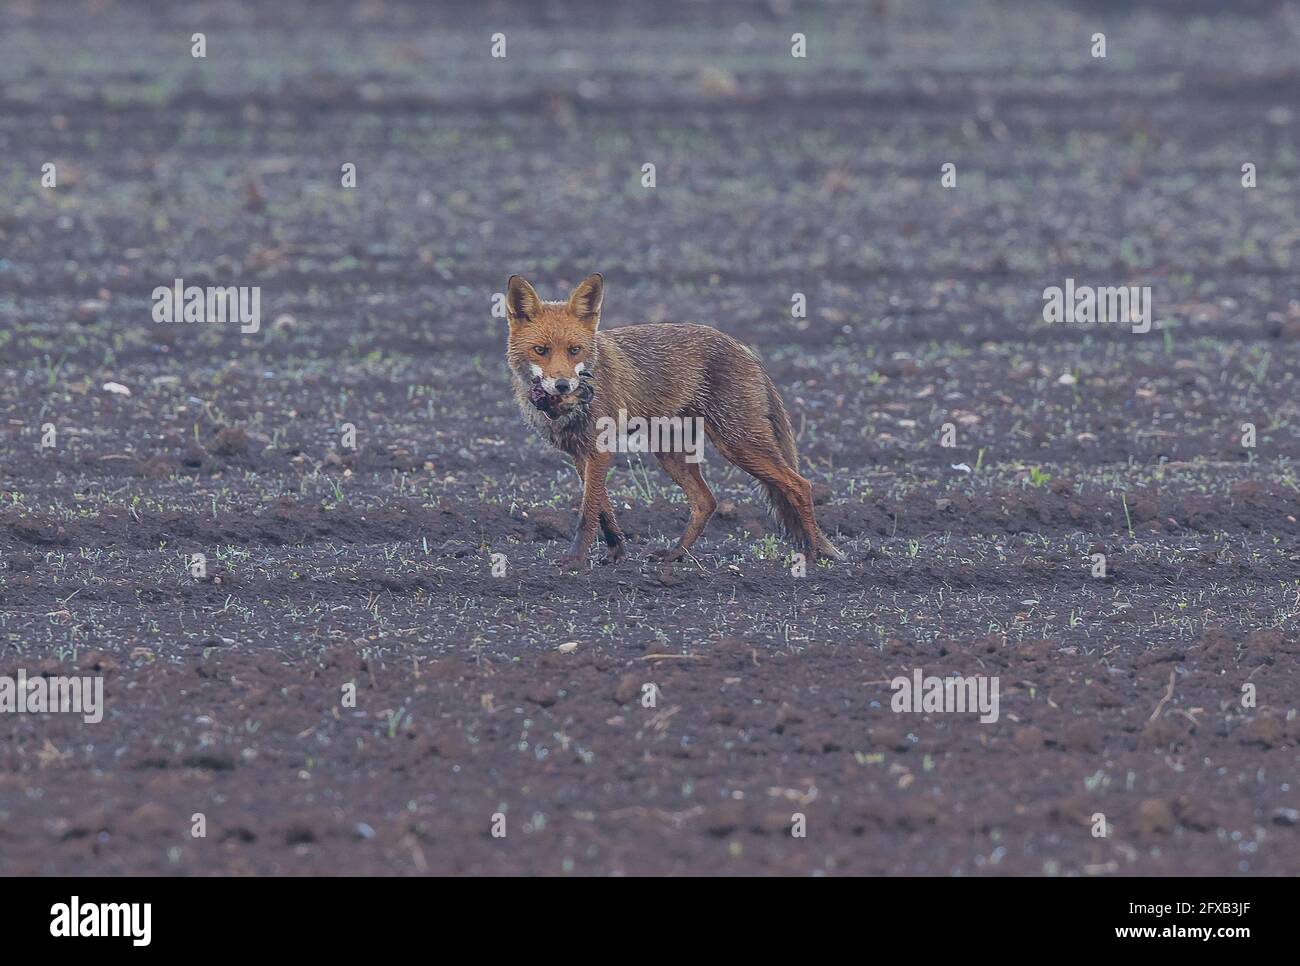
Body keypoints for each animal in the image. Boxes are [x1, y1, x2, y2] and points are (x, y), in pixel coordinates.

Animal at [506, 273, 841, 570]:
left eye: (574, 350)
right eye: (540, 350)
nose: (563, 386)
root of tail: (745, 349)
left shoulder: (598, 449)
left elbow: (587, 514)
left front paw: (575, 560)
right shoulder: (579, 453)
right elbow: (603, 510)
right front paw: (616, 552)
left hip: (738, 443)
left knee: (800, 486)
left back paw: (813, 555)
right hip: (671, 452)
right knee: (707, 501)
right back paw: (676, 554)